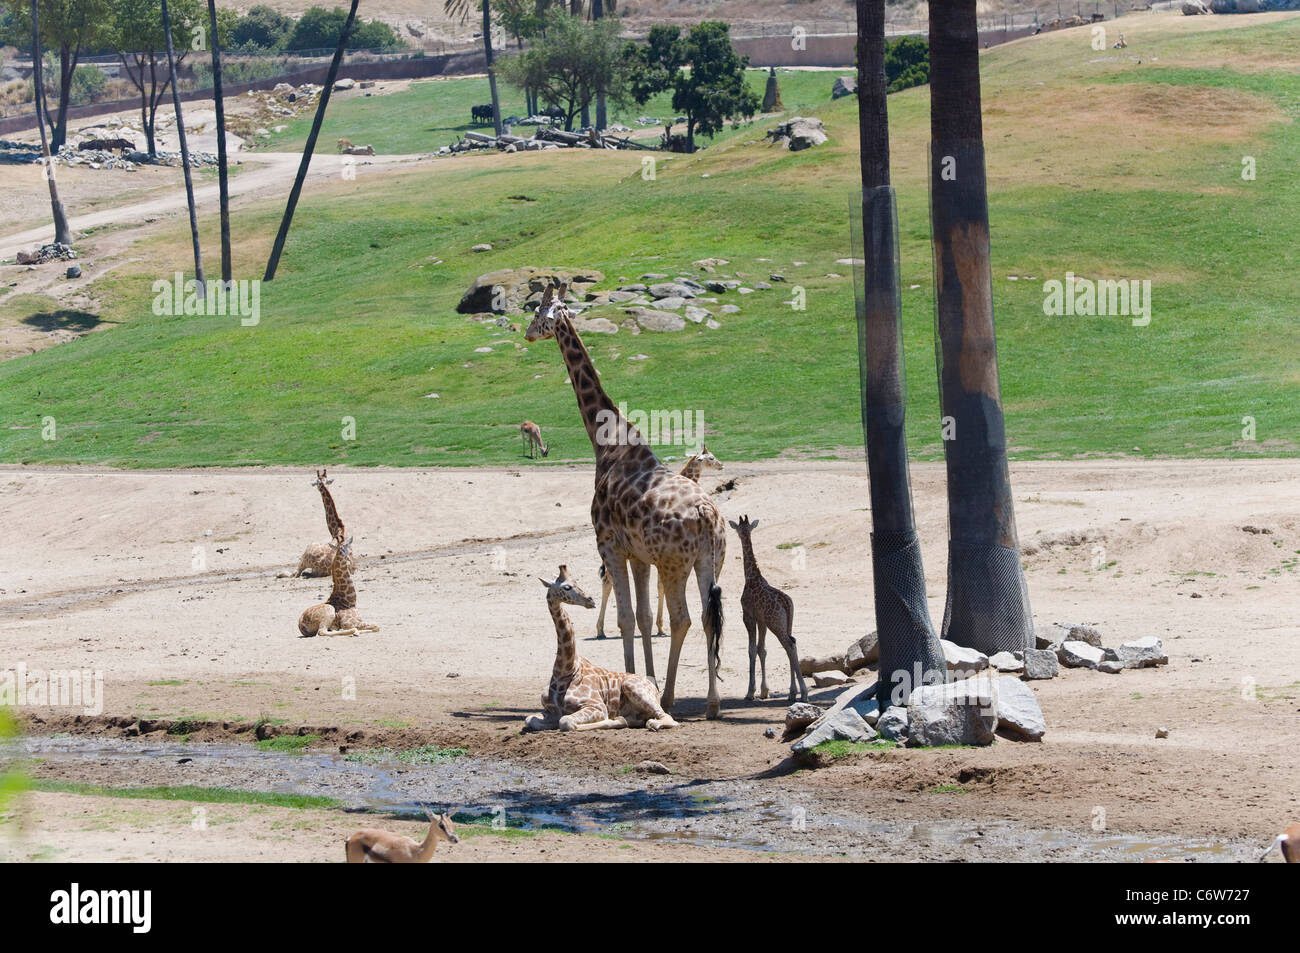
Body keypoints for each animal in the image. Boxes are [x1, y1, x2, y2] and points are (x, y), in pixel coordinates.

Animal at [524, 566, 677, 732]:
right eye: (567, 587)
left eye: (576, 581)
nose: (590, 600)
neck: (564, 671)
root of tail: (653, 686)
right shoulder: (550, 710)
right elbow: (530, 719)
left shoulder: (596, 706)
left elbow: (566, 721)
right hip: (636, 712)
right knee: (633, 719)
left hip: (634, 688)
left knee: (667, 718)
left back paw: (651, 723)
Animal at [596, 446, 724, 639]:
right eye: (710, 458)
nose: (721, 465)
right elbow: (661, 586)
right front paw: (660, 627)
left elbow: (660, 586)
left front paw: (660, 627)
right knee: (607, 581)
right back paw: (600, 630)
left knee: (607, 580)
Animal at [728, 515, 808, 703]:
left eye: (739, 529)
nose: (740, 535)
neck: (751, 577)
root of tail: (786, 603)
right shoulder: (761, 620)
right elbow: (762, 649)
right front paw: (764, 691)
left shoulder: (748, 616)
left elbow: (751, 650)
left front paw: (750, 692)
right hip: (786, 624)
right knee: (792, 644)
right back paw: (792, 693)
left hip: (776, 624)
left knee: (789, 645)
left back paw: (803, 693)